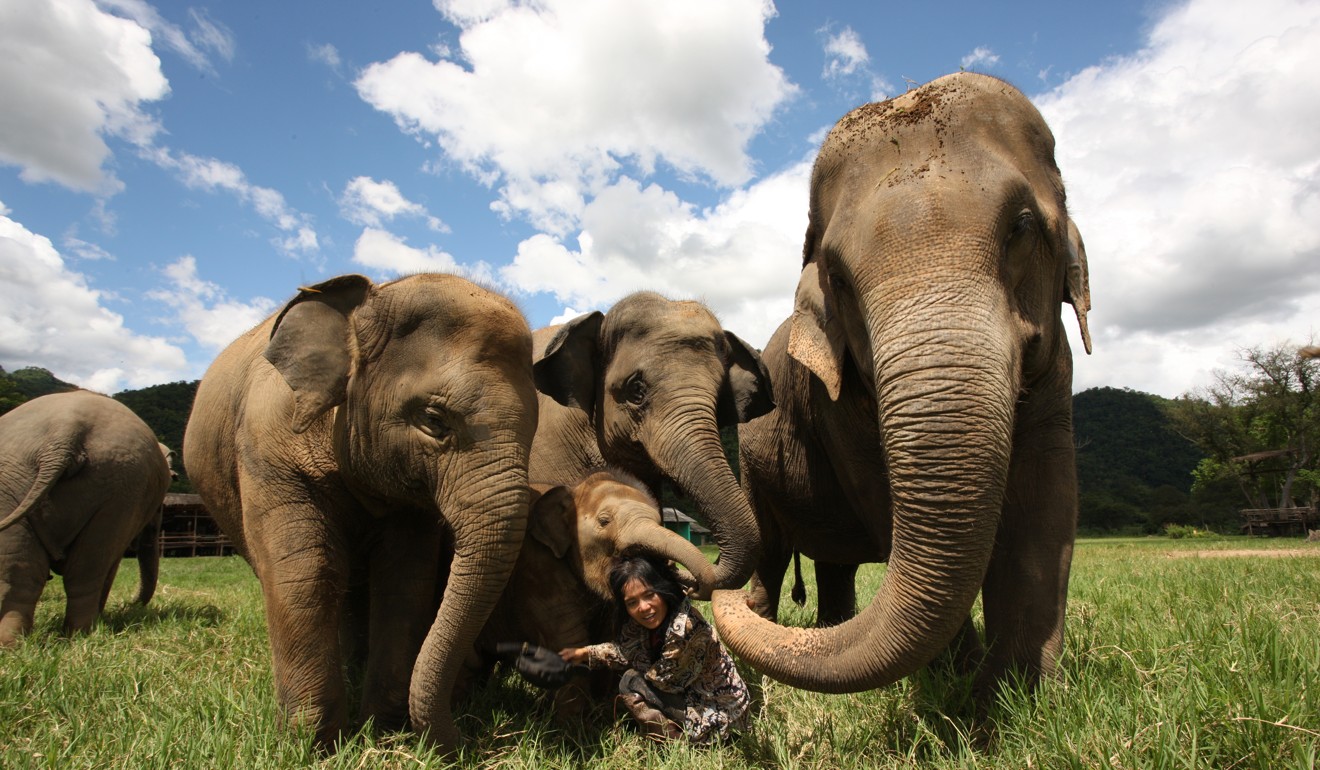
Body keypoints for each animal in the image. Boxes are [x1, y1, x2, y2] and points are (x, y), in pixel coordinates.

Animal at [182, 273, 539, 753]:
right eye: (434, 419)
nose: (473, 739)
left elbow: (405, 580)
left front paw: (383, 730)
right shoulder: (266, 450)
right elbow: (306, 572)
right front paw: (310, 744)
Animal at [467, 468, 714, 716]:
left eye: (658, 521)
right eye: (604, 521)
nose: (691, 585)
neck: (575, 490)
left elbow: (612, 641)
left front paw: (599, 714)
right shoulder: (536, 567)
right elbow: (568, 637)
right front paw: (571, 724)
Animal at [711, 72, 1093, 703]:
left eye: (1020, 226)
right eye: (837, 275)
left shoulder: (1056, 363)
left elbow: (1048, 495)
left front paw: (1013, 699)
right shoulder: (835, 404)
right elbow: (880, 496)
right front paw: (960, 684)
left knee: (833, 564)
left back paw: (830, 626)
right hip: (752, 464)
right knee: (770, 546)